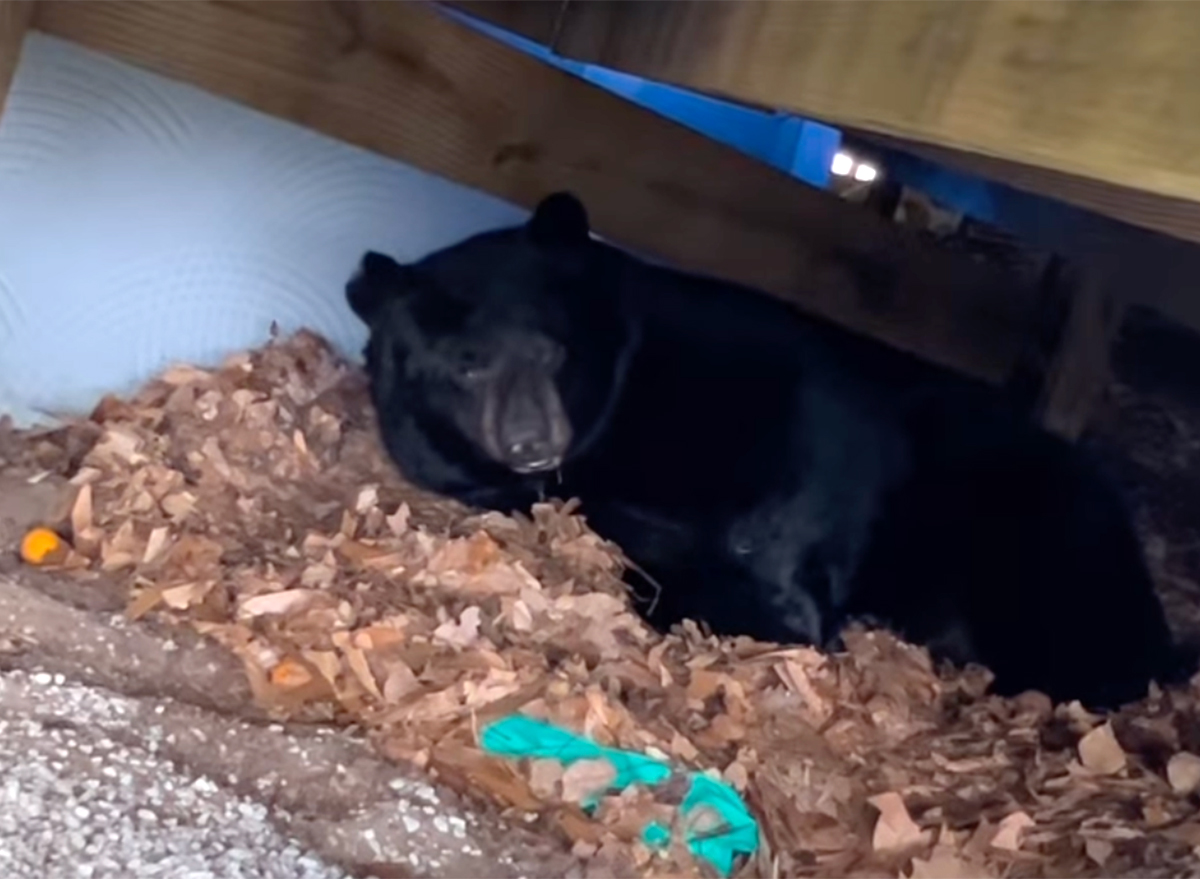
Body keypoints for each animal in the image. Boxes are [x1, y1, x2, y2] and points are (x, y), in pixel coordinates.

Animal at [345, 190, 1191, 710]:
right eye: (465, 364)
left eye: (552, 350)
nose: (529, 438)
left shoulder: (761, 374)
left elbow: (811, 463)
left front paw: (784, 602)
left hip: (1028, 523)